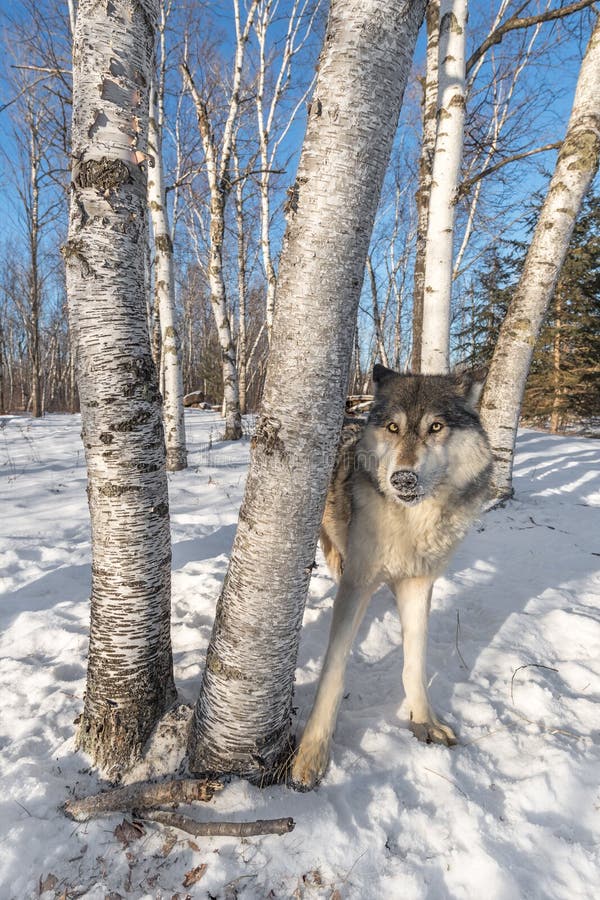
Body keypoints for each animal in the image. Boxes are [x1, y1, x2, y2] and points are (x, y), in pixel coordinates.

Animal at [291, 364, 493, 790]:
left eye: (436, 427)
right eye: (393, 427)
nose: (403, 479)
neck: (413, 523)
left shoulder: (417, 583)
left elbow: (414, 661)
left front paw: (424, 721)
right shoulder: (358, 583)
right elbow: (333, 672)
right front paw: (312, 755)